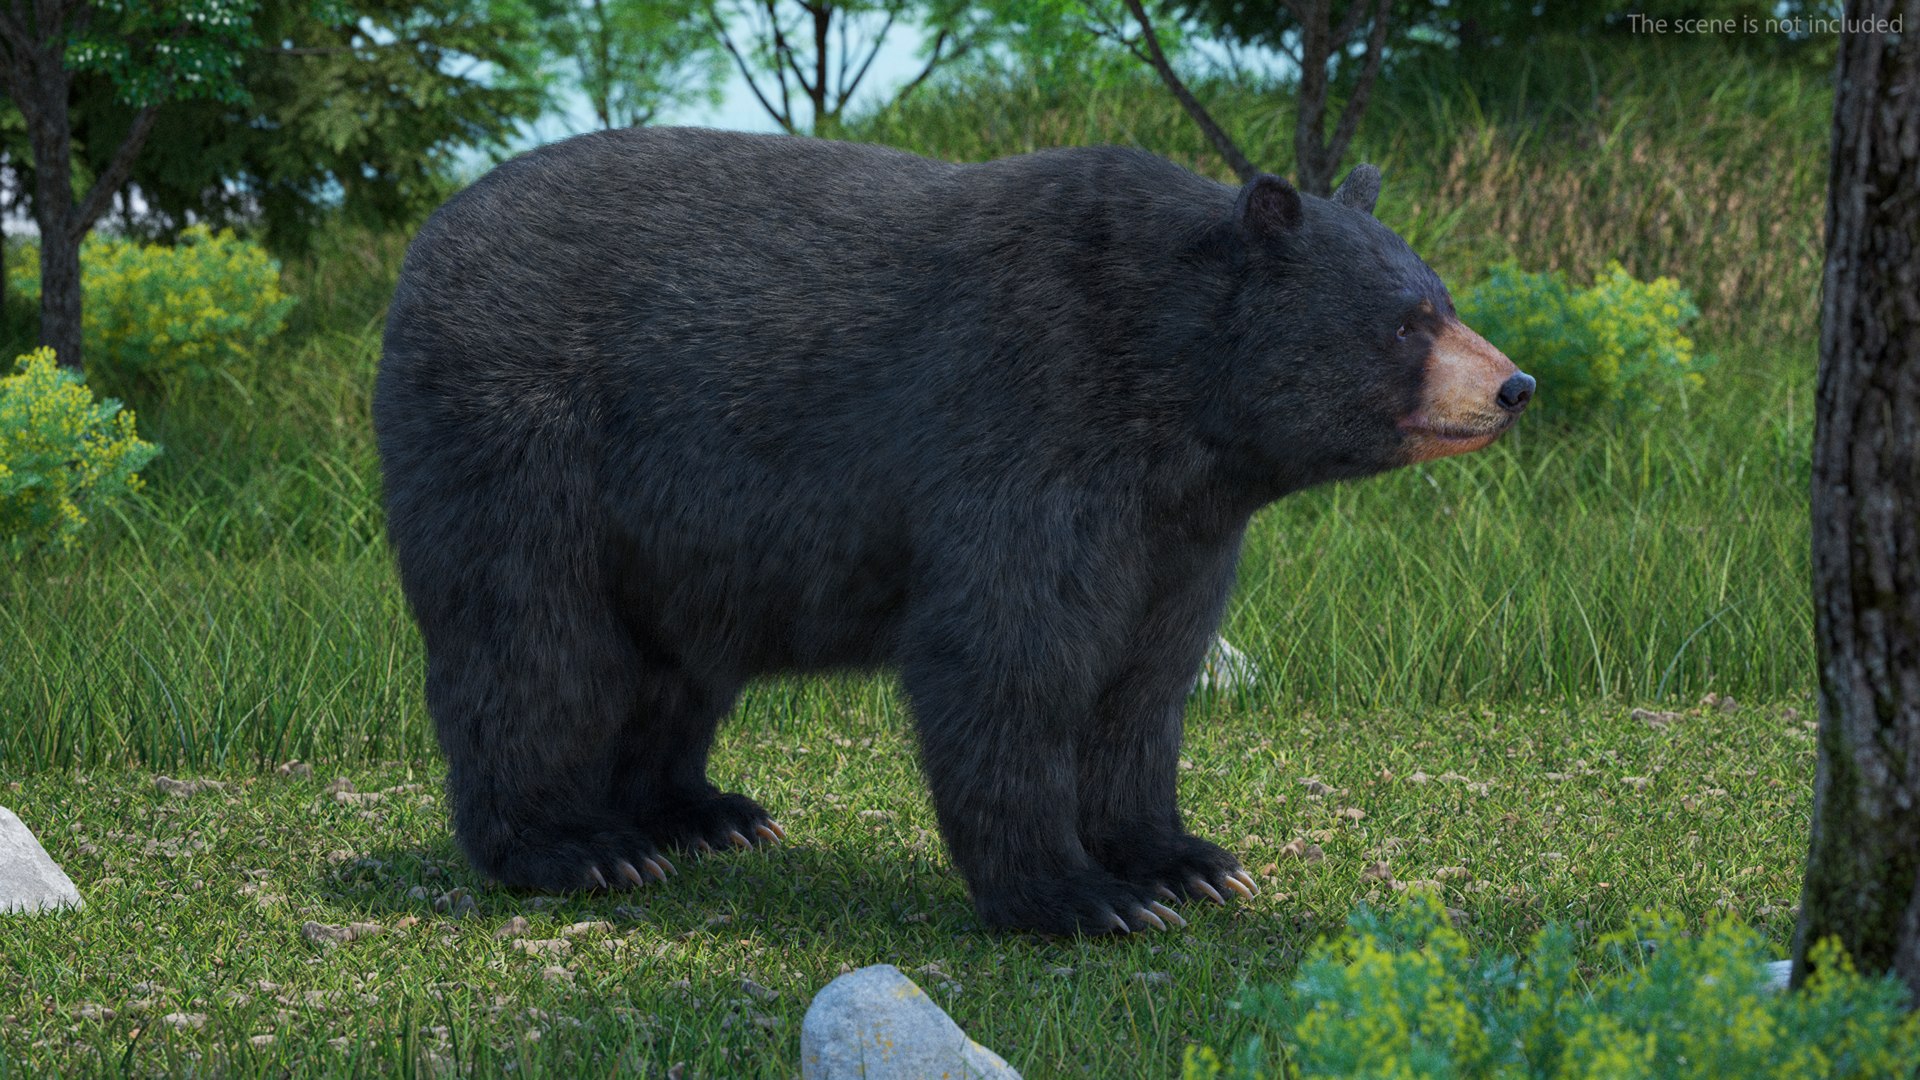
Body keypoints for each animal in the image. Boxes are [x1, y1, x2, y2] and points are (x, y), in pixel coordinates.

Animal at [372, 127, 1532, 936]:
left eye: (1439, 295)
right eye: (1407, 322)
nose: (1515, 385)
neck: (1166, 381)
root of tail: (424, 245)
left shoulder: (1180, 525)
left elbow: (1147, 677)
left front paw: (1182, 861)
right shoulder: (1026, 420)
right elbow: (1009, 656)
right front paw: (1078, 897)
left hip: (676, 540)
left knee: (673, 669)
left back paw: (701, 816)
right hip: (519, 437)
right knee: (530, 642)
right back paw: (575, 850)